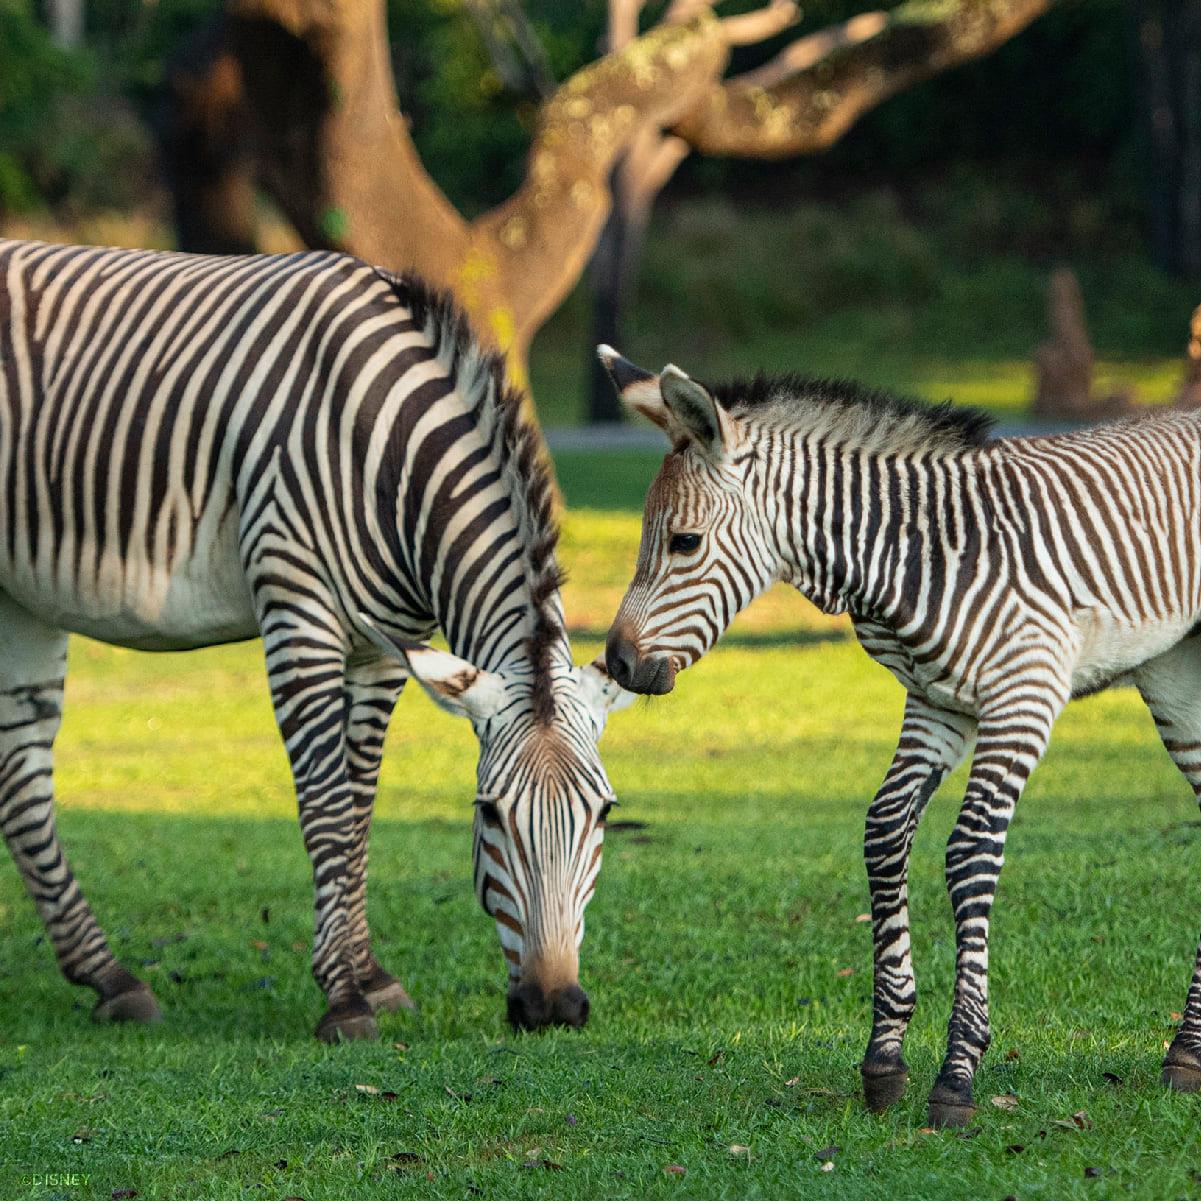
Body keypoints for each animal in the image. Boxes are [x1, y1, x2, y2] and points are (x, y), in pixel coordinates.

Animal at [0, 238, 632, 1044]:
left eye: (604, 813)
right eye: (488, 811)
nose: (553, 1008)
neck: (384, 450)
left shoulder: (387, 644)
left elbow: (359, 804)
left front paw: (370, 975)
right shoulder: (296, 613)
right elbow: (327, 804)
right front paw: (342, 999)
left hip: (20, 595)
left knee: (20, 775)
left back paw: (109, 978)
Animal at [598, 344, 1201, 1126]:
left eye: (684, 543)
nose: (615, 663)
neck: (912, 552)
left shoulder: (1024, 691)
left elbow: (969, 852)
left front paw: (958, 1073)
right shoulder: (934, 703)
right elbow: (884, 831)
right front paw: (884, 1056)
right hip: (1173, 672)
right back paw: (1186, 1052)